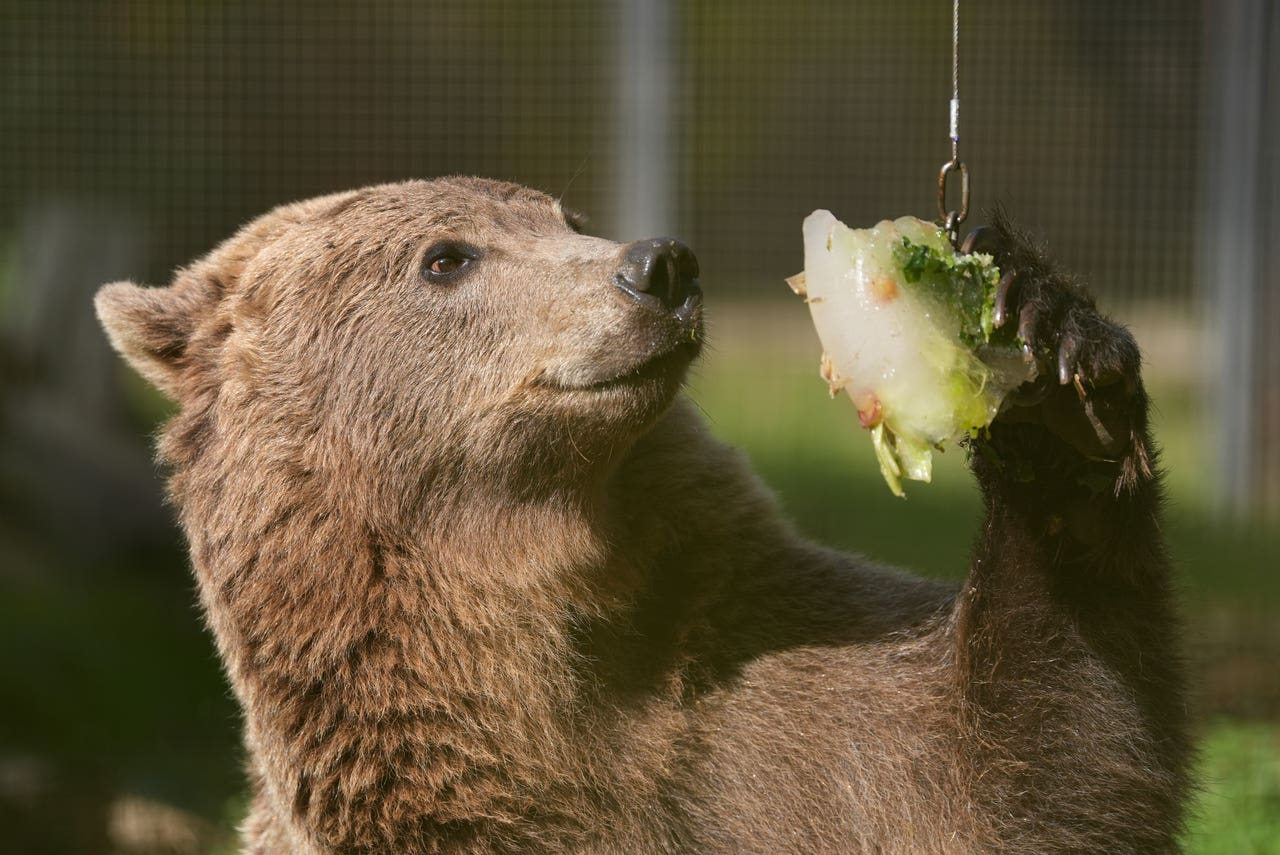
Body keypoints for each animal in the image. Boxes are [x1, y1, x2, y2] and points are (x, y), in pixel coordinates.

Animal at [95, 177, 1189, 854]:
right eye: (446, 257)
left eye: (568, 212)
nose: (658, 264)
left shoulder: (776, 708)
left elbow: (1020, 781)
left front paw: (1050, 355)